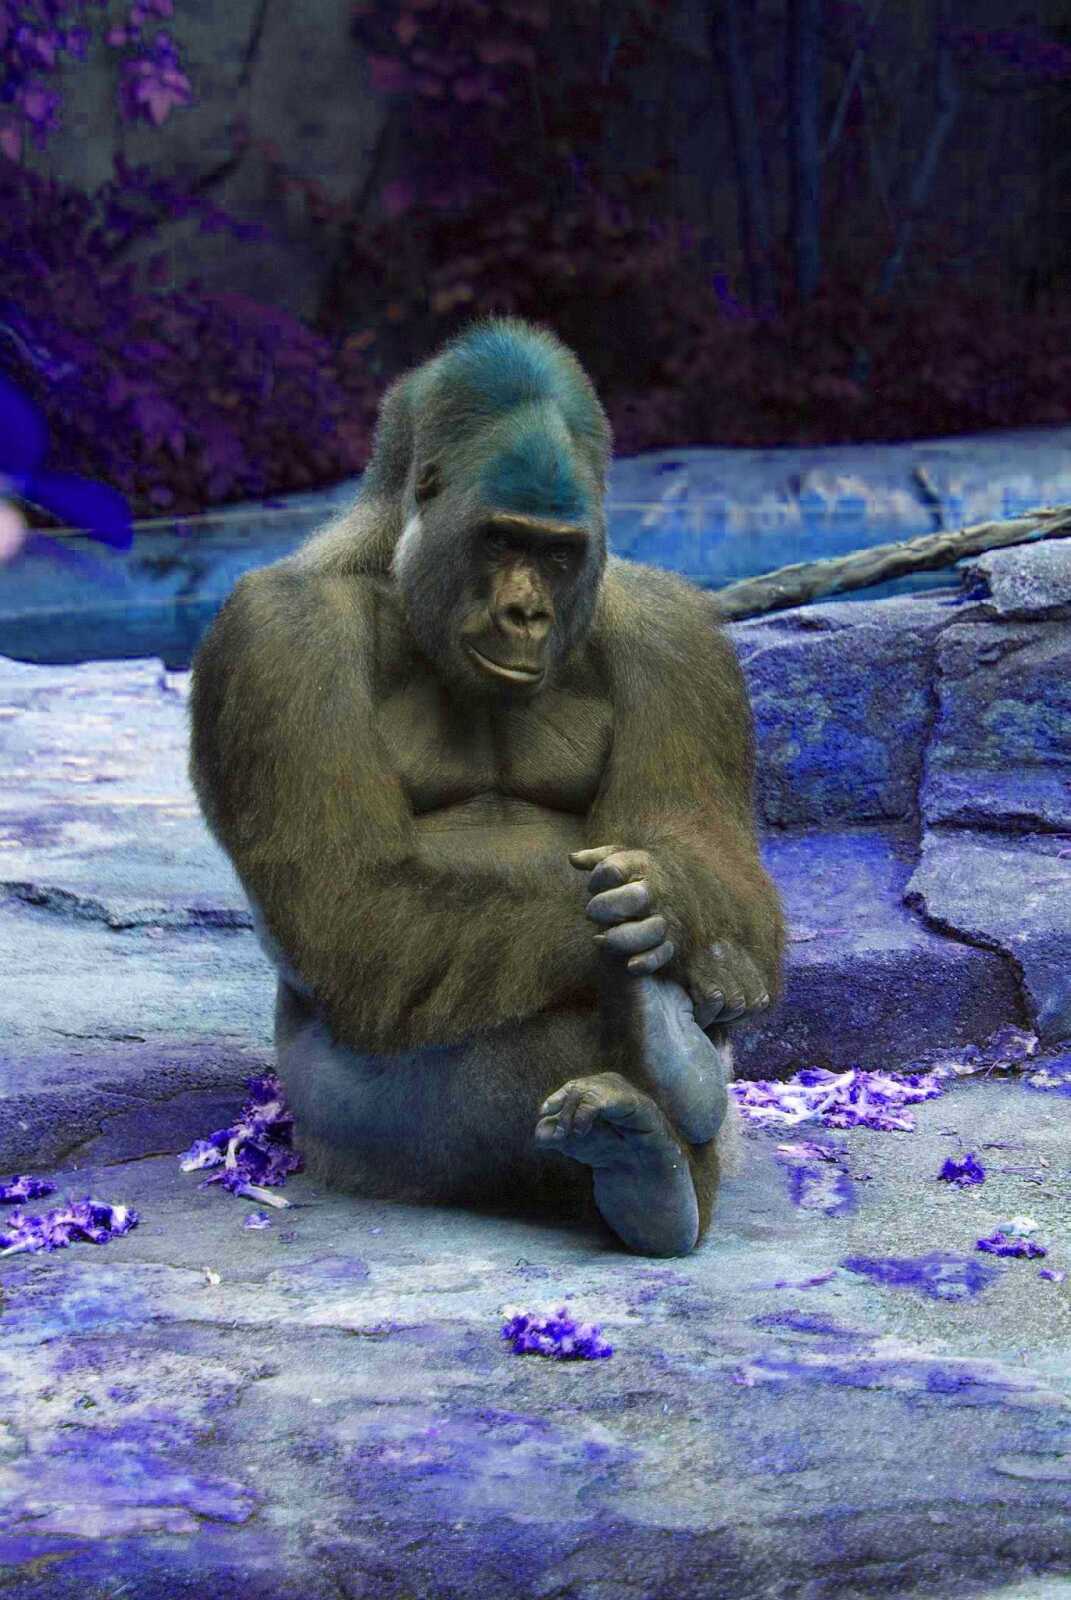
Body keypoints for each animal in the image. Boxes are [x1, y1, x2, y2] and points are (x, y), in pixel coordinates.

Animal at [188, 316, 785, 1257]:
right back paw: (657, 1103)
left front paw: (680, 903)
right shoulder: (278, 635)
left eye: (557, 552)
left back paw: (656, 1133)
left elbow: (713, 857)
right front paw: (654, 929)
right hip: (340, 1129)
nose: (525, 615)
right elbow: (356, 901)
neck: (390, 561)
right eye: (501, 540)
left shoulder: (674, 631)